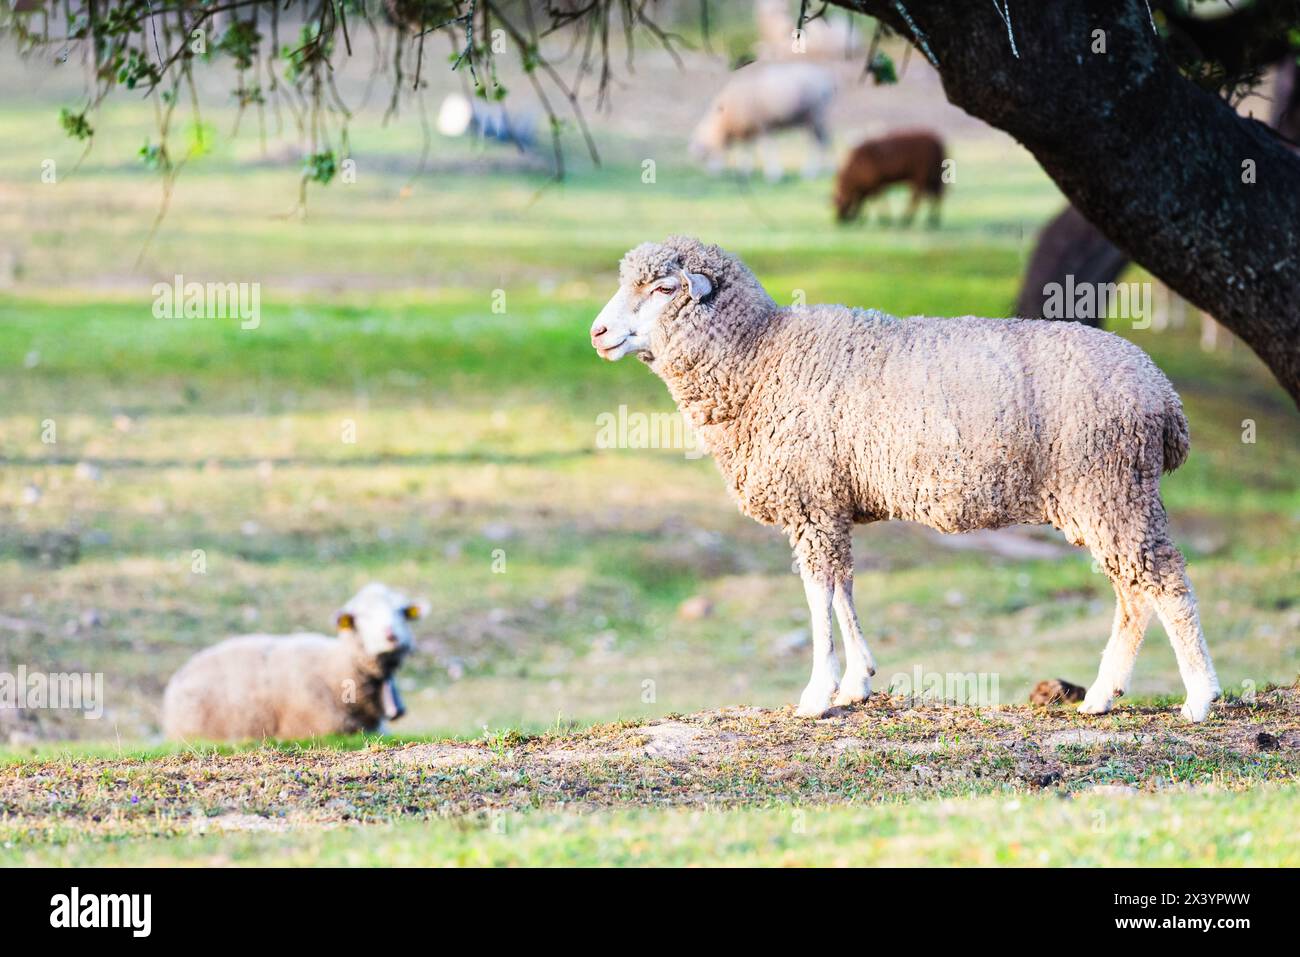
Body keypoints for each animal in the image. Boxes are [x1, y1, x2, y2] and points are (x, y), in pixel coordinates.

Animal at [589, 236, 1221, 723]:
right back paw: (1101, 697)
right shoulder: (831, 502)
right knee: (1133, 593)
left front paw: (817, 695)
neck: (759, 357)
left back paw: (1199, 697)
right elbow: (842, 588)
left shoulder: (811, 500)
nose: (597, 333)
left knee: (1165, 580)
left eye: (663, 289)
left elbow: (818, 596)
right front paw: (857, 681)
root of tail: (1165, 396)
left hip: (1111, 485)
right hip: (1103, 497)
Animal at [689, 61, 836, 181]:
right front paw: (746, 171)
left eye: (705, 153)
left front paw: (773, 175)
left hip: (816, 117)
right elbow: (747, 150)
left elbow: (768, 149)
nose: (711, 175)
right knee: (823, 142)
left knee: (821, 143)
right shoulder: (748, 130)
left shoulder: (764, 126)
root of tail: (827, 81)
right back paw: (825, 170)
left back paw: (813, 172)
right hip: (811, 121)